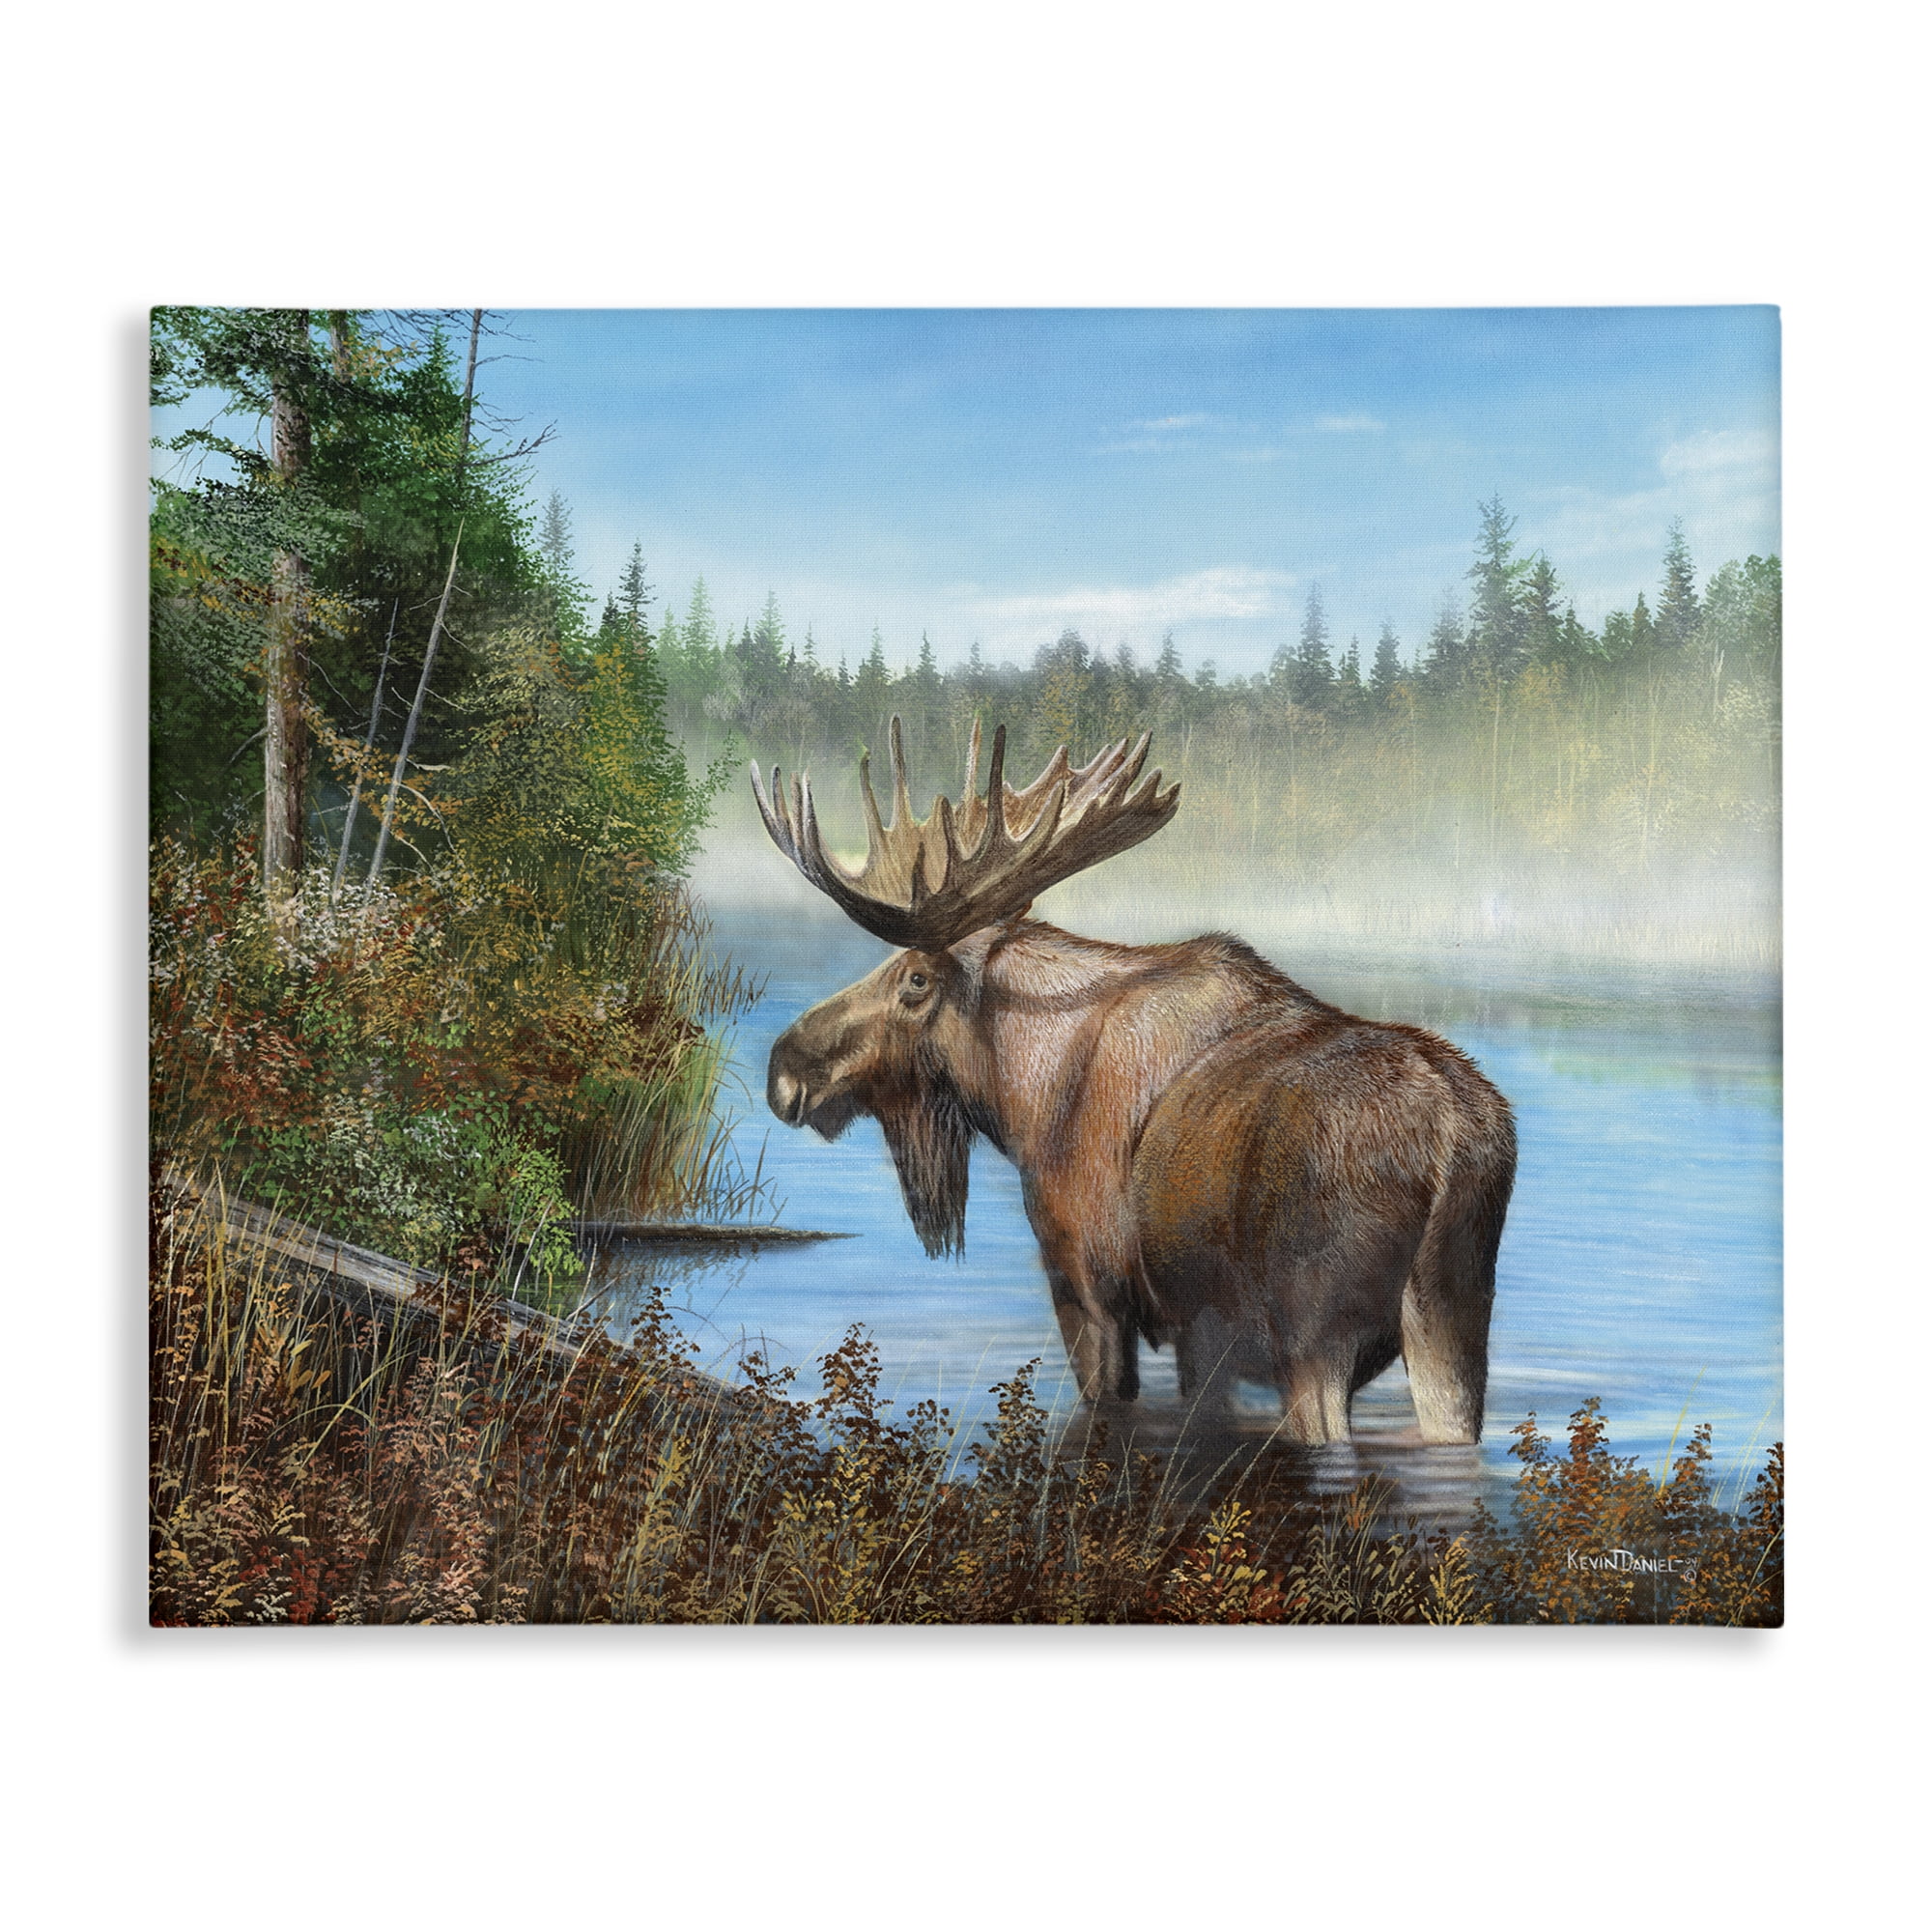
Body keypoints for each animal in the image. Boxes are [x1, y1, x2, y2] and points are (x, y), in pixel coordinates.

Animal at [751, 718, 1515, 1445]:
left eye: (913, 979)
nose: (784, 1067)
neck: (1024, 1098)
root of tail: (1456, 1145)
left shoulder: (1089, 1285)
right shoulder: (1197, 1328)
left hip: (1314, 1329)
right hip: (1451, 1315)